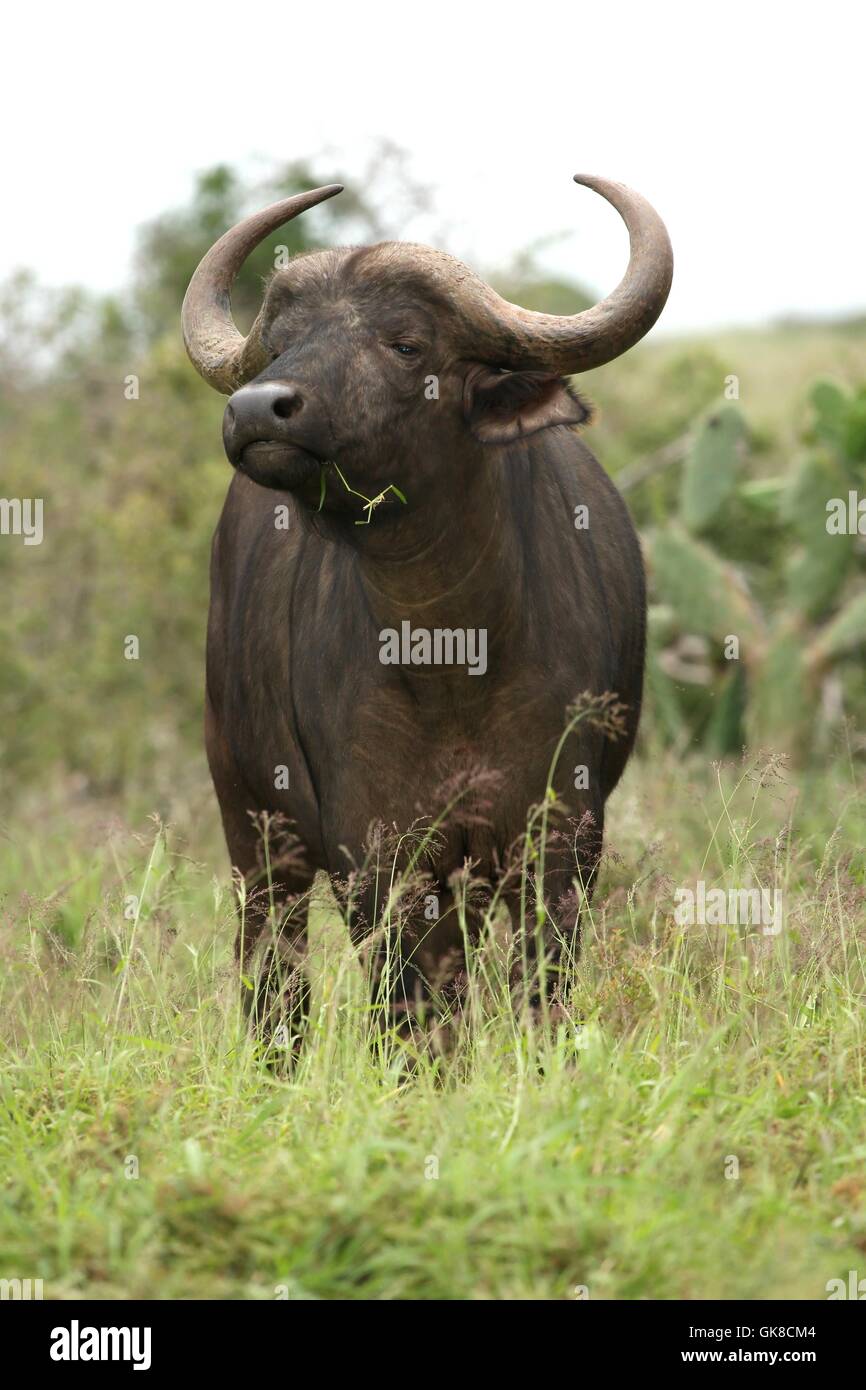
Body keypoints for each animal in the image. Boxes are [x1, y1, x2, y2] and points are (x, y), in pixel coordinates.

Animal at [182, 175, 673, 1045]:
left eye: (406, 343)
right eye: (279, 344)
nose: (257, 408)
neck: (451, 653)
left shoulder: (559, 842)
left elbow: (538, 995)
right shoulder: (378, 857)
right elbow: (413, 1017)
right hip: (252, 829)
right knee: (276, 982)